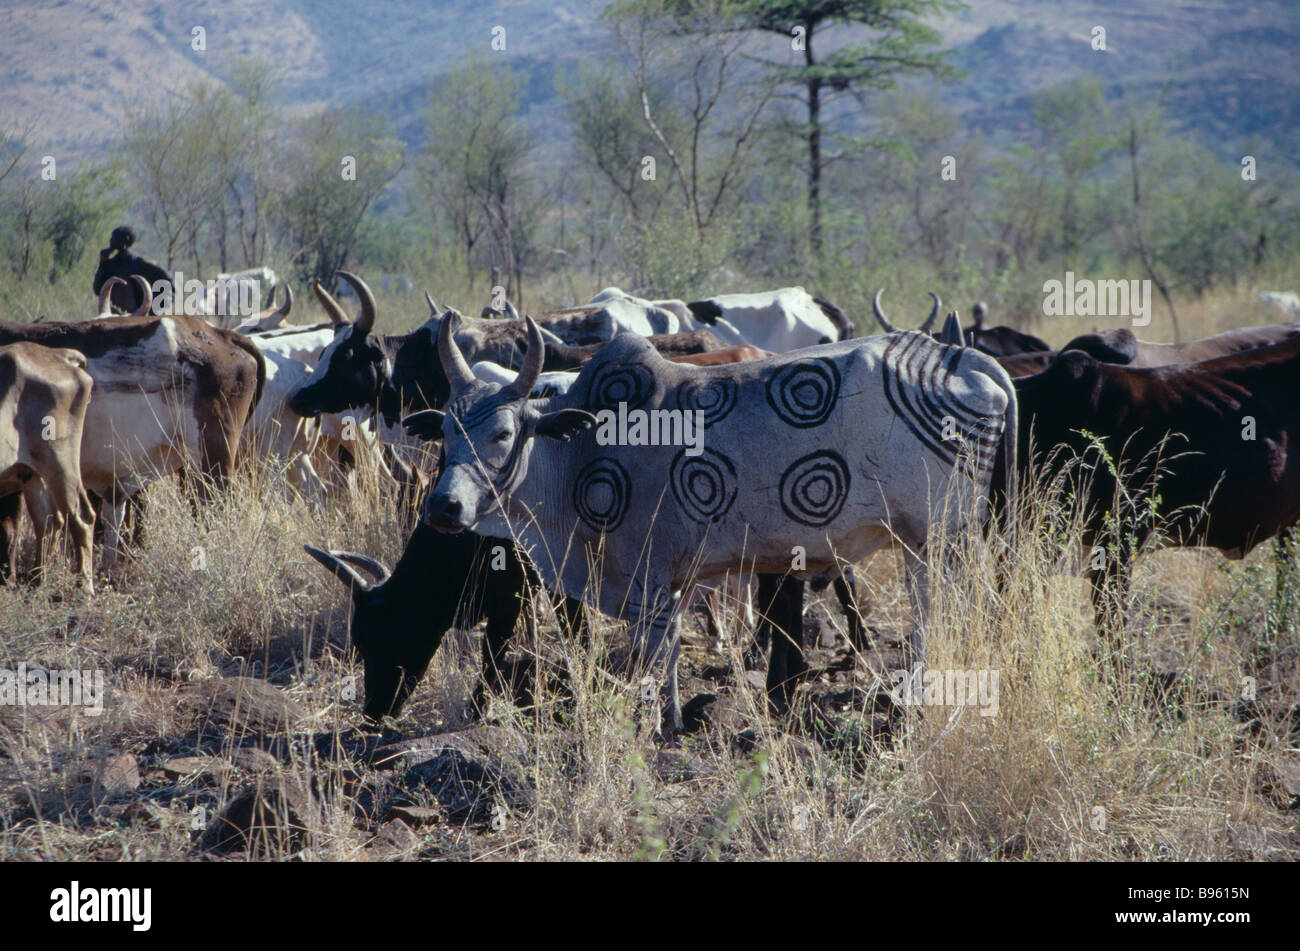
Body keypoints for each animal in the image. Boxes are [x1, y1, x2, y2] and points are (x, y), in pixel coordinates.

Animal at [0, 343, 96, 591]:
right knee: (48, 522)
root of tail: (60, 355)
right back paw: (37, 583)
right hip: (32, 473)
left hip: (60, 464)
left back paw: (84, 588)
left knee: (81, 520)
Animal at [412, 314, 1017, 734]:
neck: (581, 449)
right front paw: (674, 720)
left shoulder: (647, 577)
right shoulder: (676, 582)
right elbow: (674, 652)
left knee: (945, 617)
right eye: (446, 433)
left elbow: (652, 658)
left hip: (942, 542)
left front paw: (653, 726)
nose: (444, 508)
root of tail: (961, 357)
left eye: (503, 434)